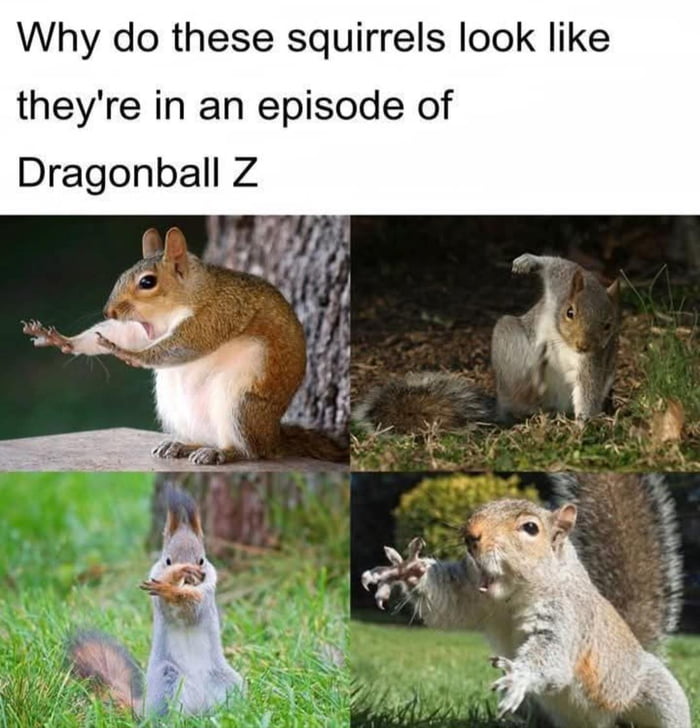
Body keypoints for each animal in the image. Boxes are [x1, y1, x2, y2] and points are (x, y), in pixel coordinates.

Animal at [21, 226, 347, 464]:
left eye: (147, 282)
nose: (109, 312)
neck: (190, 295)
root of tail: (273, 438)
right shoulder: (146, 328)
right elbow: (125, 334)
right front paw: (62, 340)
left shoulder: (219, 314)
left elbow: (187, 343)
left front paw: (129, 354)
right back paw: (181, 446)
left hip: (241, 406)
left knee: (251, 452)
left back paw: (222, 452)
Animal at [68, 488, 244, 716]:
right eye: (167, 560)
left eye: (202, 560)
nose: (189, 578)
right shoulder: (159, 600)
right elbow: (169, 604)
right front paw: (172, 580)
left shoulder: (206, 597)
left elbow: (192, 608)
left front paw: (175, 589)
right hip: (167, 678)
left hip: (228, 682)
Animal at [354, 253, 621, 433]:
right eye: (570, 312)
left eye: (608, 326)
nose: (582, 345)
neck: (562, 338)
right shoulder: (560, 282)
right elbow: (554, 264)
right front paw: (527, 262)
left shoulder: (593, 359)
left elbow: (588, 387)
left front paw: (583, 424)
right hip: (507, 336)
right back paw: (530, 380)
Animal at [361, 473, 690, 728]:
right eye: (479, 509)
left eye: (530, 528)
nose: (471, 535)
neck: (512, 596)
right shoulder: (469, 594)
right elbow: (446, 604)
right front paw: (406, 570)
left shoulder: (568, 617)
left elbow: (553, 655)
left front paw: (520, 675)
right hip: (534, 706)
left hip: (653, 694)